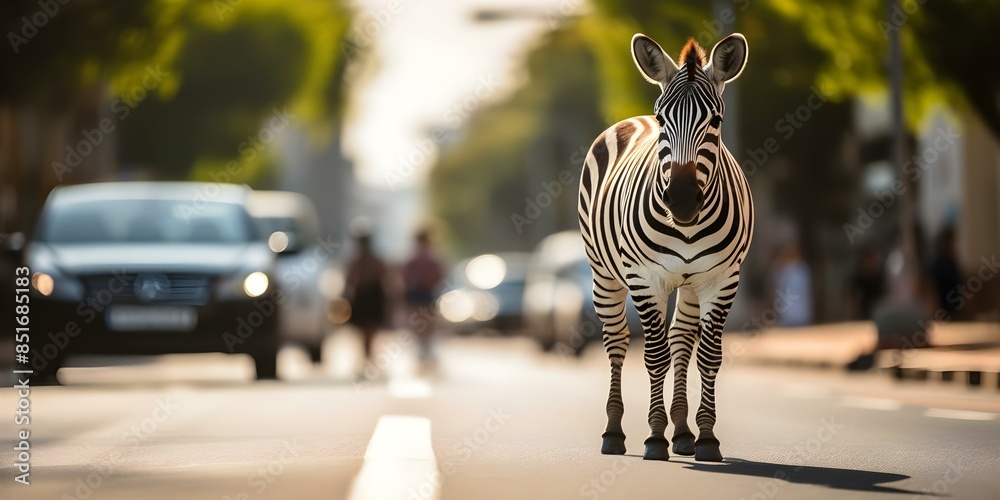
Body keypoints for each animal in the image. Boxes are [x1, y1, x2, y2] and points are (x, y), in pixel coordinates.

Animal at [577, 33, 753, 462]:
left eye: (716, 121)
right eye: (663, 121)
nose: (683, 200)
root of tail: (632, 117)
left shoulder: (722, 280)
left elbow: (708, 357)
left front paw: (706, 438)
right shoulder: (646, 279)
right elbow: (654, 356)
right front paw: (655, 439)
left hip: (689, 286)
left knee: (681, 341)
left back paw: (684, 433)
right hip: (604, 276)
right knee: (618, 341)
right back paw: (614, 432)